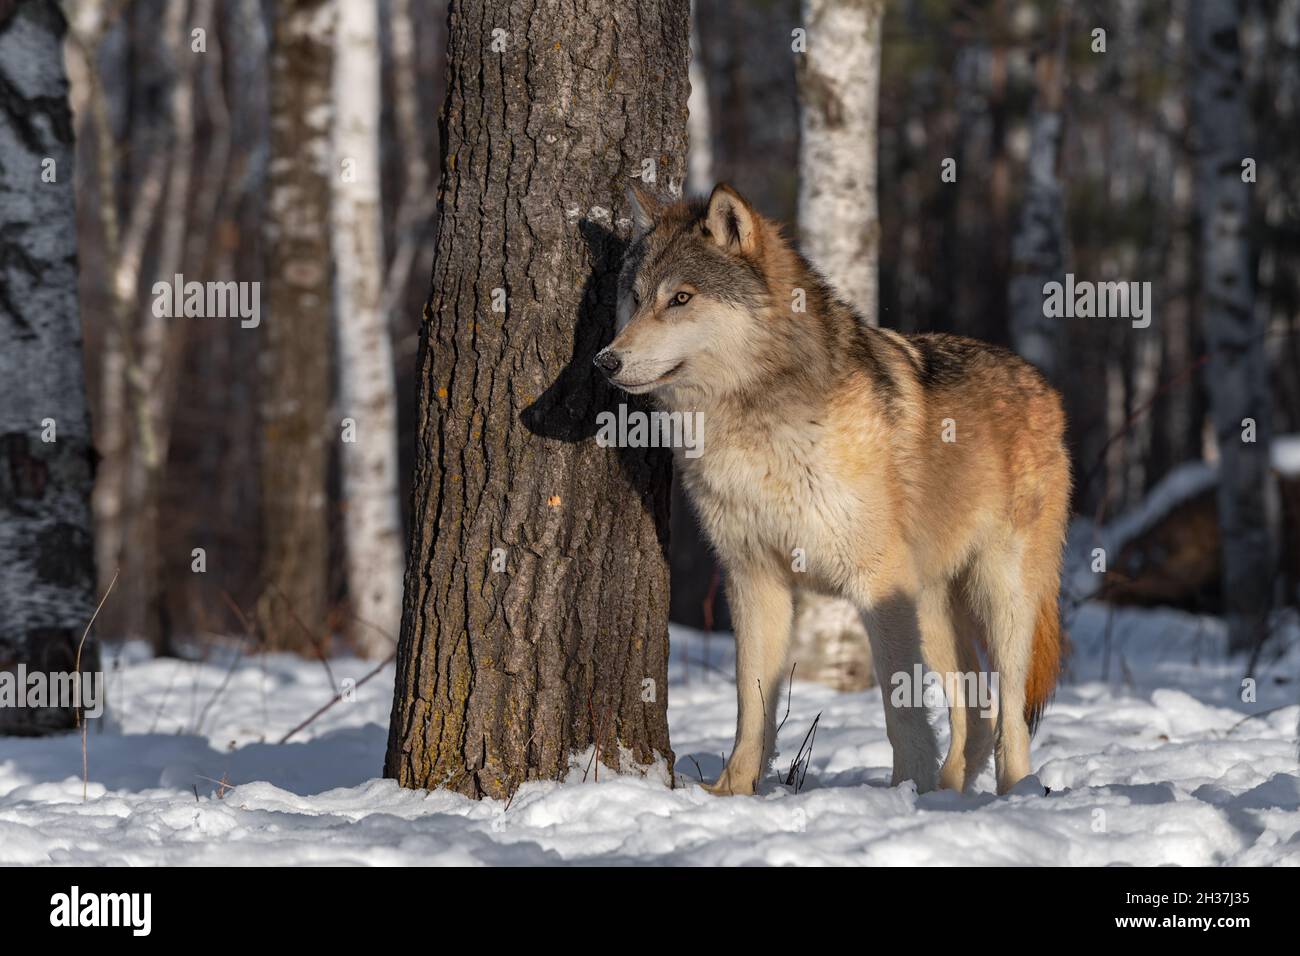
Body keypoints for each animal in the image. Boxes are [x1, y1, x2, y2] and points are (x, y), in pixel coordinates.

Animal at [595, 182, 1071, 796]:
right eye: (634, 298)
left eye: (680, 298)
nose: (606, 361)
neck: (754, 427)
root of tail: (1042, 385)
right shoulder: (755, 580)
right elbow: (751, 706)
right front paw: (731, 792)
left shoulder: (878, 586)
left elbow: (901, 709)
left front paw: (904, 790)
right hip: (935, 611)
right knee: (975, 709)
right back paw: (949, 794)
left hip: (1001, 599)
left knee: (1010, 711)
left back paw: (1013, 795)